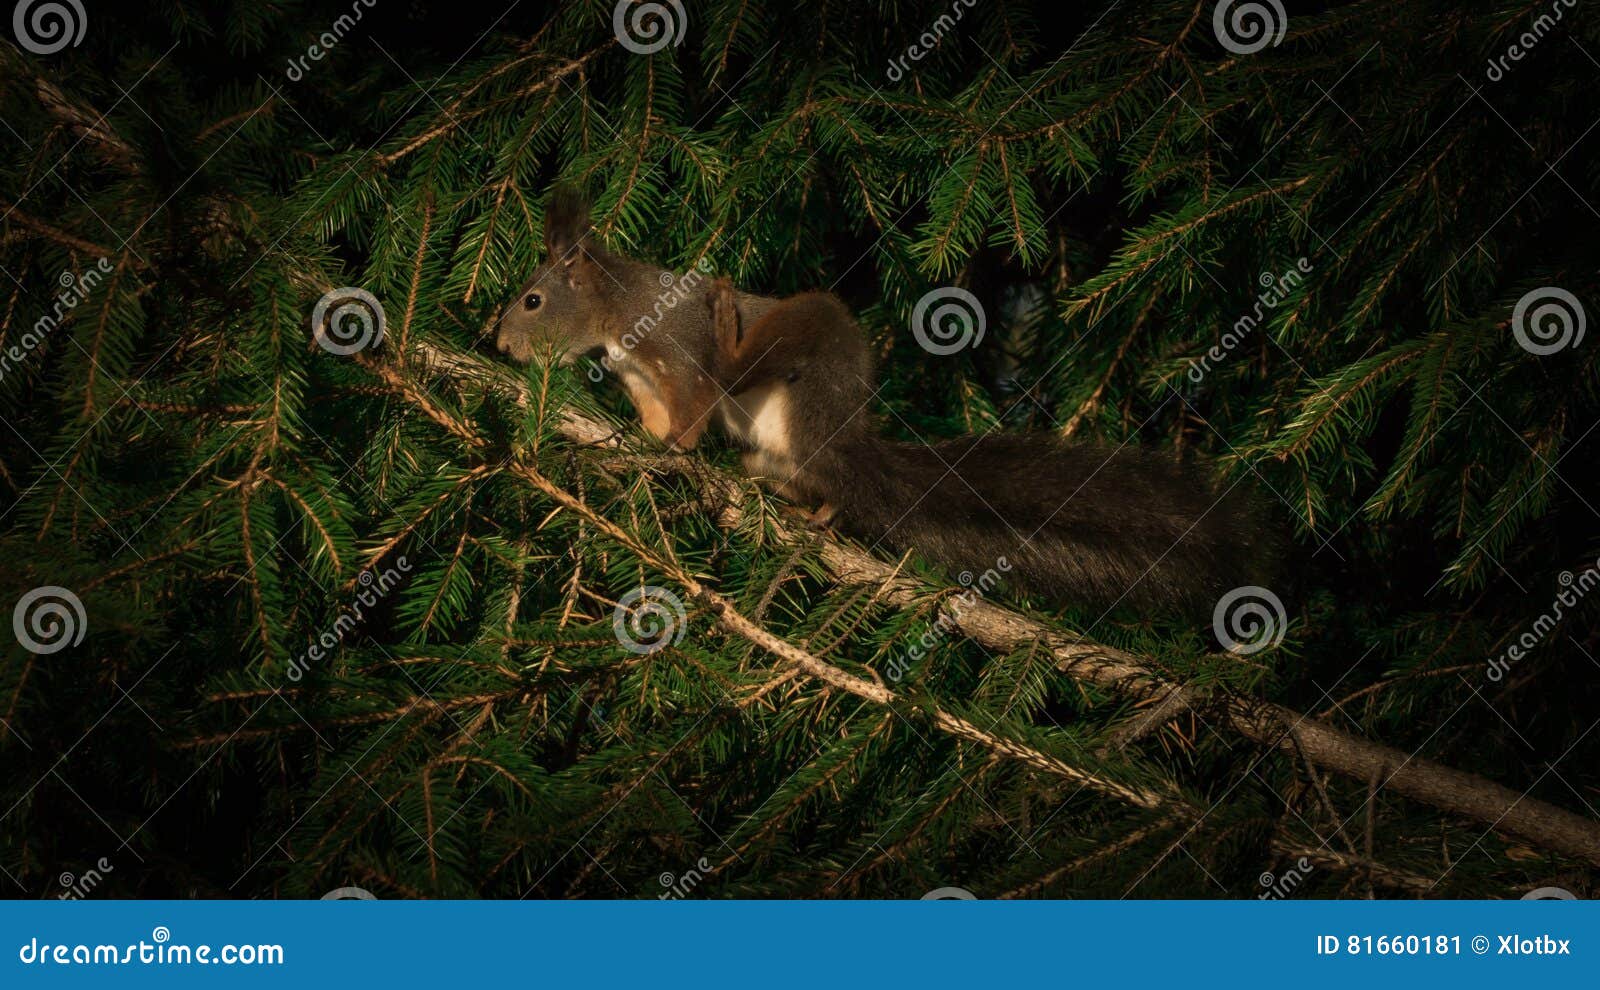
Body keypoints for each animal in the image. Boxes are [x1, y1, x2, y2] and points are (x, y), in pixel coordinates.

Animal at [495, 189, 1278, 612]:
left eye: (532, 299)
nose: (496, 341)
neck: (614, 318)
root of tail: (852, 442)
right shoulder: (641, 380)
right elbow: (657, 416)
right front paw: (638, 437)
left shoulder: (675, 352)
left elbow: (692, 406)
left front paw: (672, 445)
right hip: (775, 453)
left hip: (809, 389)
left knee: (821, 465)